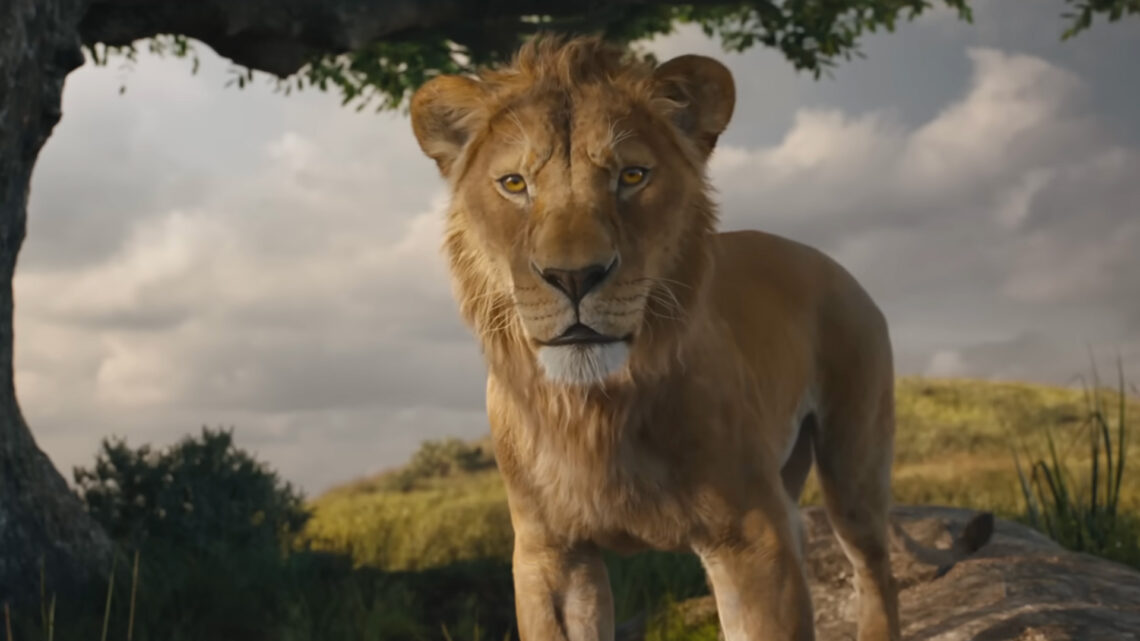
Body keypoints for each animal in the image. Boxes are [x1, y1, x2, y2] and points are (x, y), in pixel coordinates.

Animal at [409, 35, 903, 641]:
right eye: (514, 184)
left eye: (632, 176)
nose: (575, 277)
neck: (594, 410)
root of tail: (831, 263)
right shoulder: (549, 553)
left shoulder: (750, 536)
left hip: (854, 460)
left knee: (873, 566)